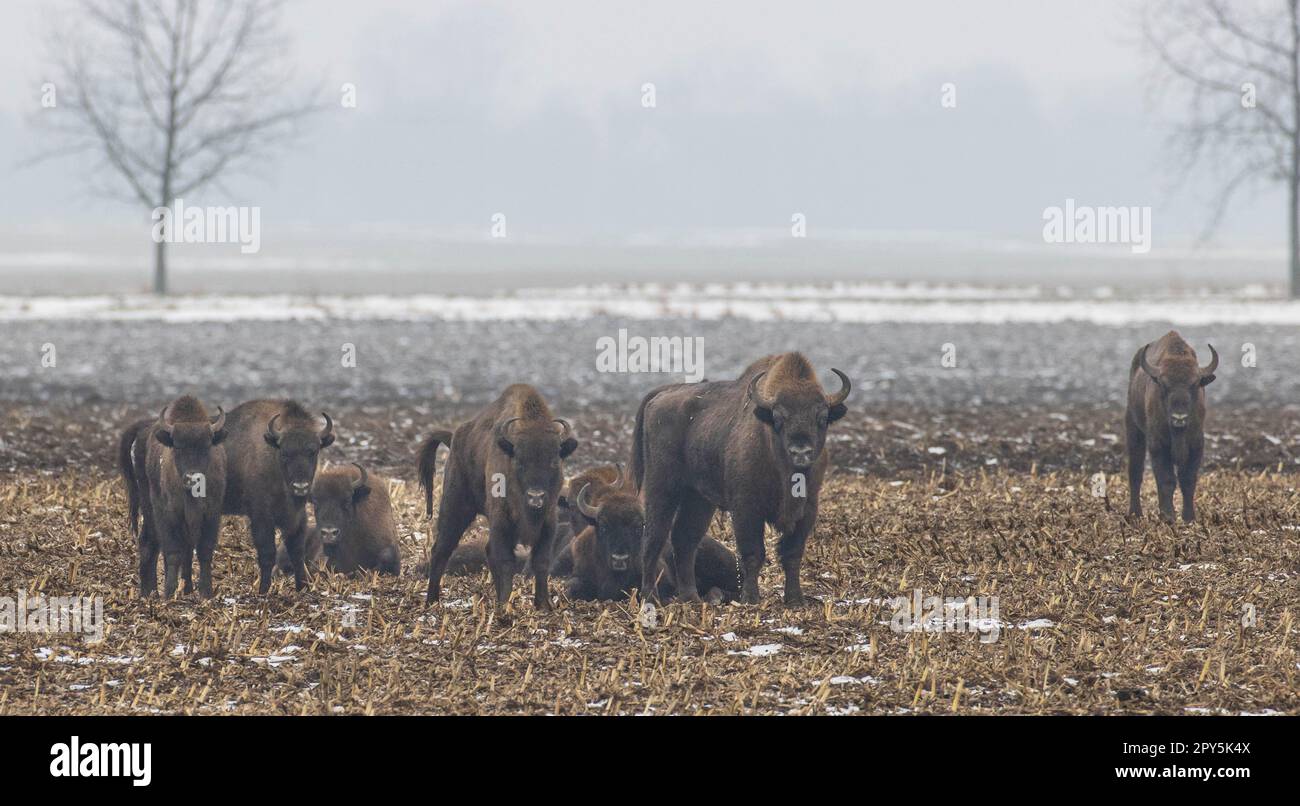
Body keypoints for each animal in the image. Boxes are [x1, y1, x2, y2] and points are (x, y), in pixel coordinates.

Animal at [118, 396, 227, 597]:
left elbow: (203, 551)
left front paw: (205, 592)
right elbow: (173, 552)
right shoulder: (168, 515)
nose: (193, 478)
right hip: (149, 506)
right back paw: (149, 592)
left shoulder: (211, 515)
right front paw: (169, 593)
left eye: (207, 446)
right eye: (177, 446)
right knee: (149, 542)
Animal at [418, 384, 578, 610]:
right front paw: (505, 605)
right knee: (442, 549)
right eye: (519, 461)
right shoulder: (502, 521)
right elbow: (505, 561)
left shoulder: (548, 523)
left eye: (554, 462)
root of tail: (454, 438)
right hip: (455, 507)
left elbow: (541, 561)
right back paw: (432, 600)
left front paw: (543, 605)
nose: (535, 497)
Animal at [633, 352, 850, 605]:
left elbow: (792, 554)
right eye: (778, 418)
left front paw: (795, 599)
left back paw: (691, 597)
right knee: (654, 537)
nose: (801, 451)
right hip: (662, 487)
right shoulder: (746, 508)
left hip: (698, 499)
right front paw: (751, 598)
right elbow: (753, 552)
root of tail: (661, 396)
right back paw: (649, 597)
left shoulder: (807, 510)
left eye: (822, 418)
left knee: (684, 539)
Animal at [1126, 331, 1217, 523]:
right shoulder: (1158, 447)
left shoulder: (1196, 445)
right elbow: (1166, 480)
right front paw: (1168, 517)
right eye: (1163, 384)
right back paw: (1135, 513)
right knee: (1135, 472)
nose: (1179, 417)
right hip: (1133, 429)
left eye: (1194, 384)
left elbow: (1188, 480)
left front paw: (1189, 517)